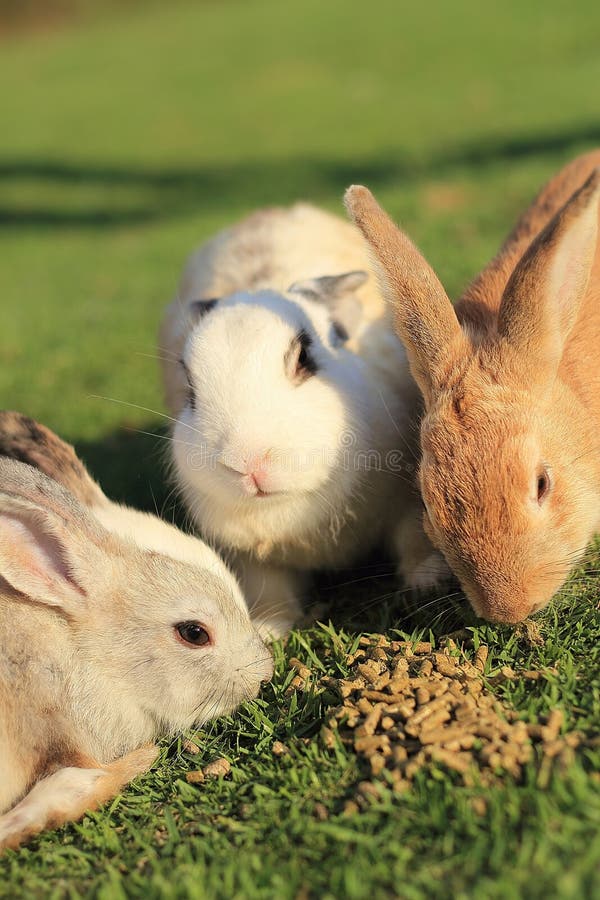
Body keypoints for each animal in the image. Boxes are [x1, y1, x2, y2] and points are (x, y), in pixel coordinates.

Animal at [159, 204, 447, 633]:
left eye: (303, 359)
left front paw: (429, 580)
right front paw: (269, 627)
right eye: (190, 388)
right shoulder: (252, 557)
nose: (246, 462)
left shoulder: (405, 501)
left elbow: (412, 537)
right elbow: (270, 587)